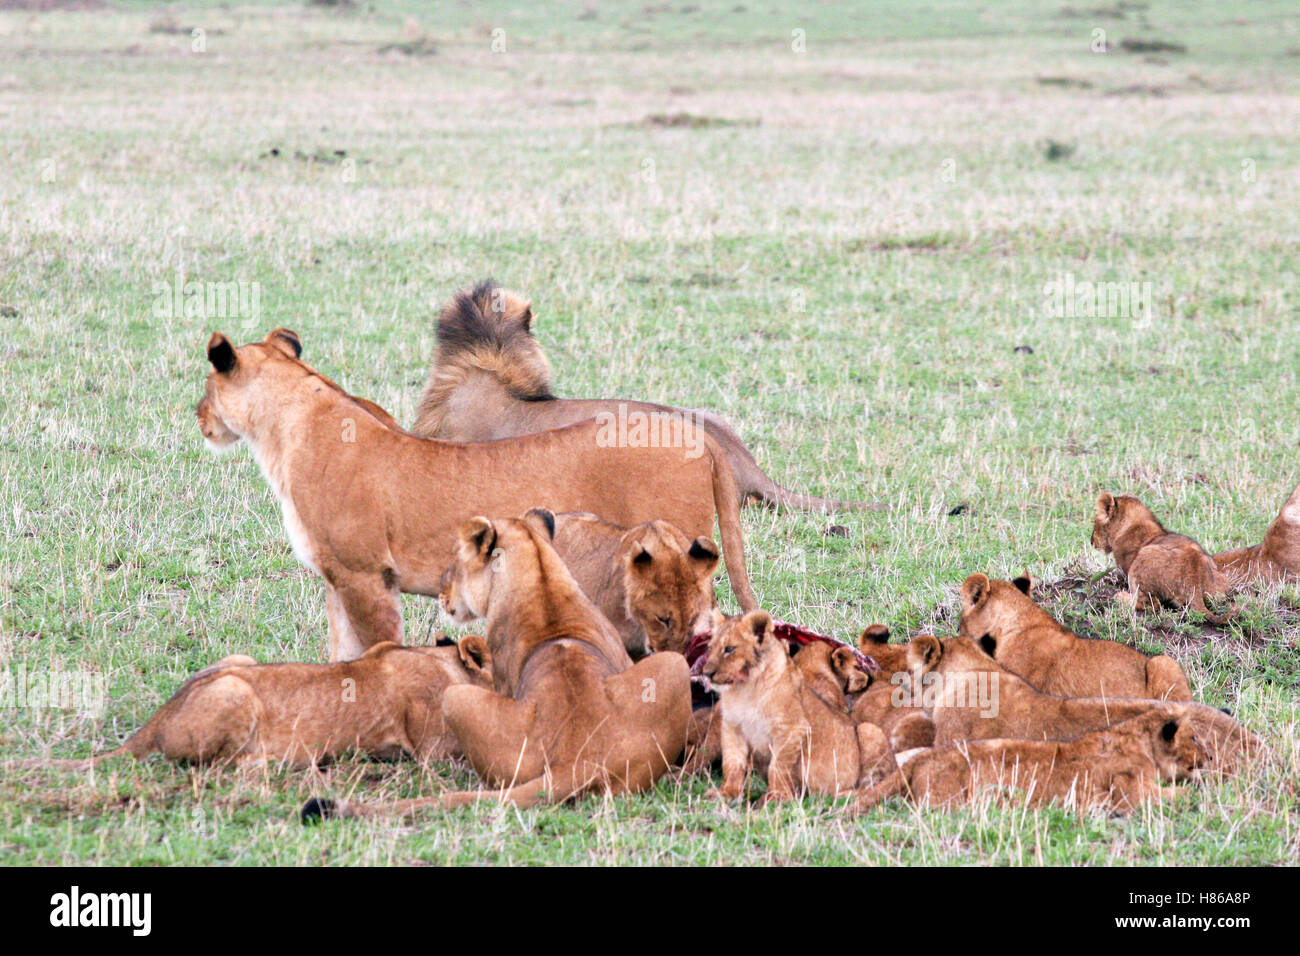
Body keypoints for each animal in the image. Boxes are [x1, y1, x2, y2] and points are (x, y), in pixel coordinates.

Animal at [301, 509, 692, 820]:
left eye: (454, 561)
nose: (441, 590)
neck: (541, 577)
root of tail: (582, 755)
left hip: (457, 696)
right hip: (673, 664)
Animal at [697, 609, 890, 804]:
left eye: (729, 649)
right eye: (710, 648)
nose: (706, 673)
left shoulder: (791, 729)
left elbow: (775, 766)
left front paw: (775, 797)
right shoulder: (734, 728)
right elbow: (734, 764)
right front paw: (727, 794)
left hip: (869, 731)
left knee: (869, 783)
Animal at [851, 707, 1206, 815]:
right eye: (1195, 738)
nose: (1211, 756)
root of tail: (926, 755)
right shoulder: (1130, 795)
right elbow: (1177, 795)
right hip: (948, 801)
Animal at [1091, 492, 1234, 621]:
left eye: (1094, 524)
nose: (1091, 542)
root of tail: (1193, 576)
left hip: (1142, 559)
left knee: (1151, 604)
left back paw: (1120, 596)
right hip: (1221, 581)